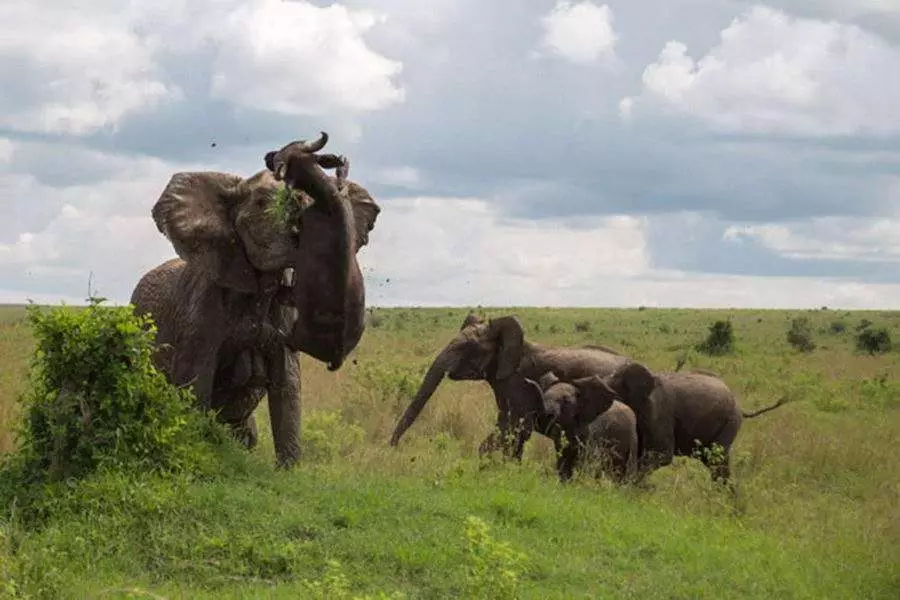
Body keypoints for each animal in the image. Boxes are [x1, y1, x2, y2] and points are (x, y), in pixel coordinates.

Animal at [130, 132, 380, 468]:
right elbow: (196, 379)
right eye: (262, 204)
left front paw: (289, 471)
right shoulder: (201, 307)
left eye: (303, 203)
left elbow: (288, 385)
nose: (338, 163)